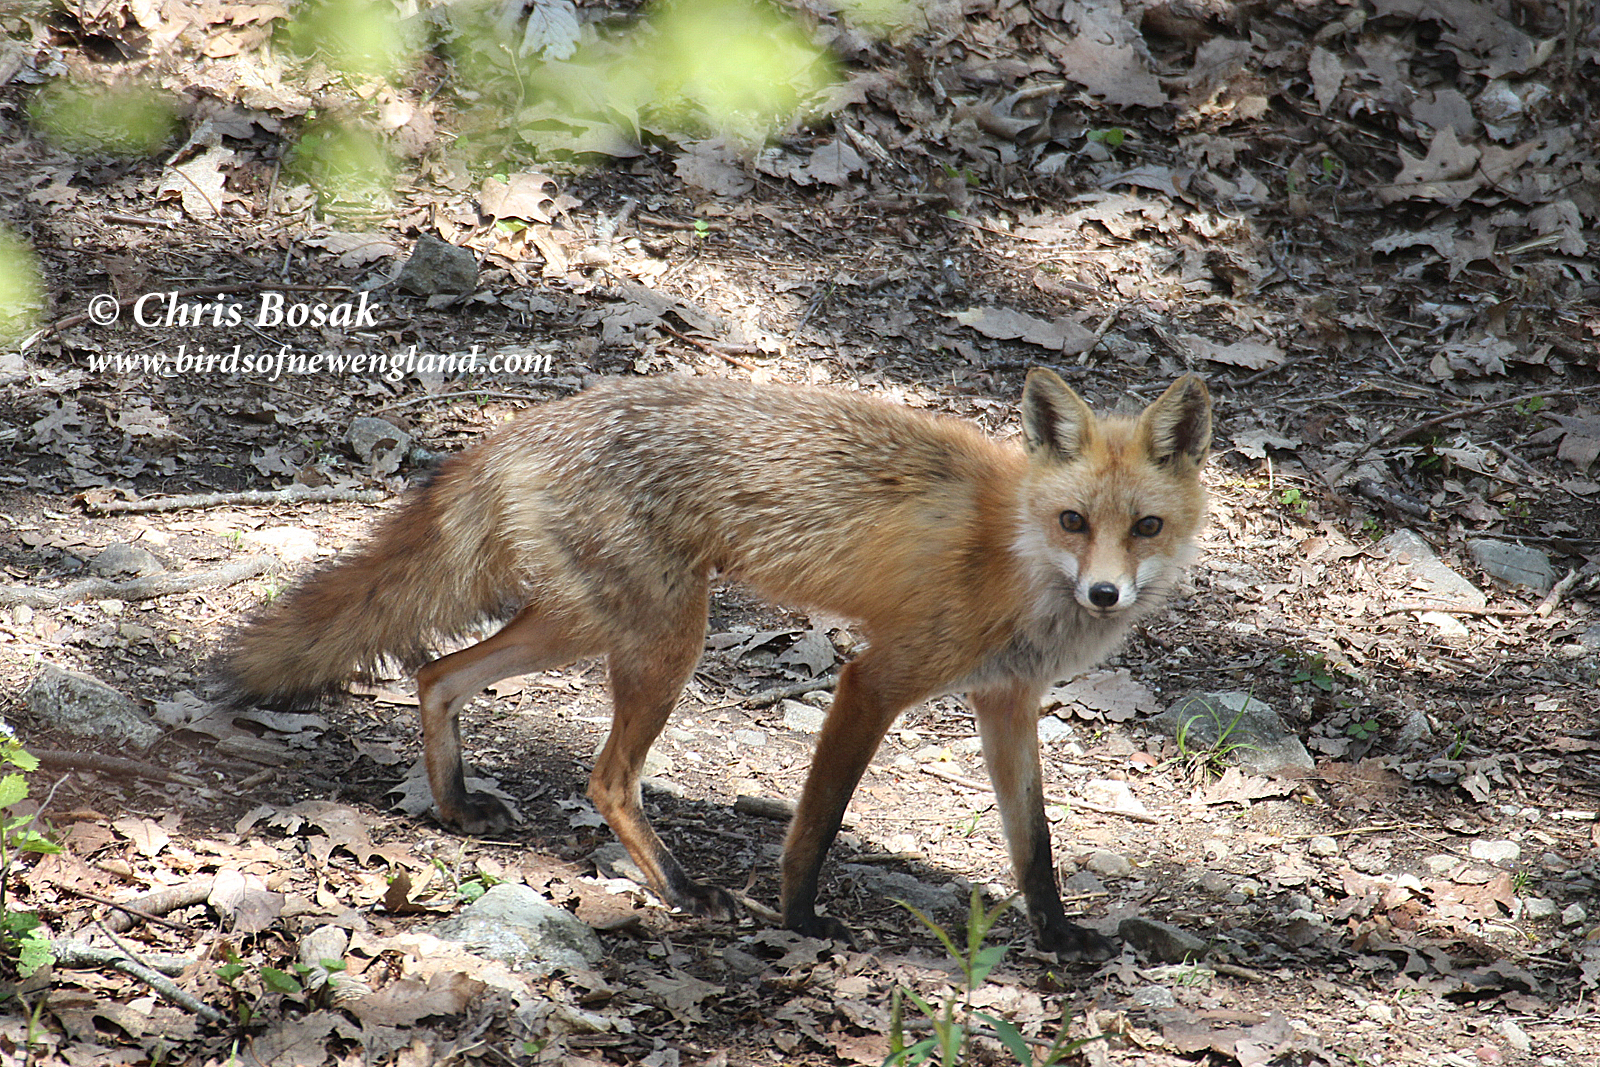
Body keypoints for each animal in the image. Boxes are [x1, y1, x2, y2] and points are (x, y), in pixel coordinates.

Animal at [220, 369, 1210, 958]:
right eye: (1074, 521)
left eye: (1145, 526)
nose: (1106, 595)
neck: (1015, 554)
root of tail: (523, 426)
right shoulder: (877, 677)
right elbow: (817, 824)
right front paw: (802, 920)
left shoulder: (1007, 700)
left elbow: (1035, 844)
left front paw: (1061, 936)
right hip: (669, 640)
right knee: (606, 777)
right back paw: (680, 886)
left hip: (588, 626)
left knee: (436, 675)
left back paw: (457, 802)